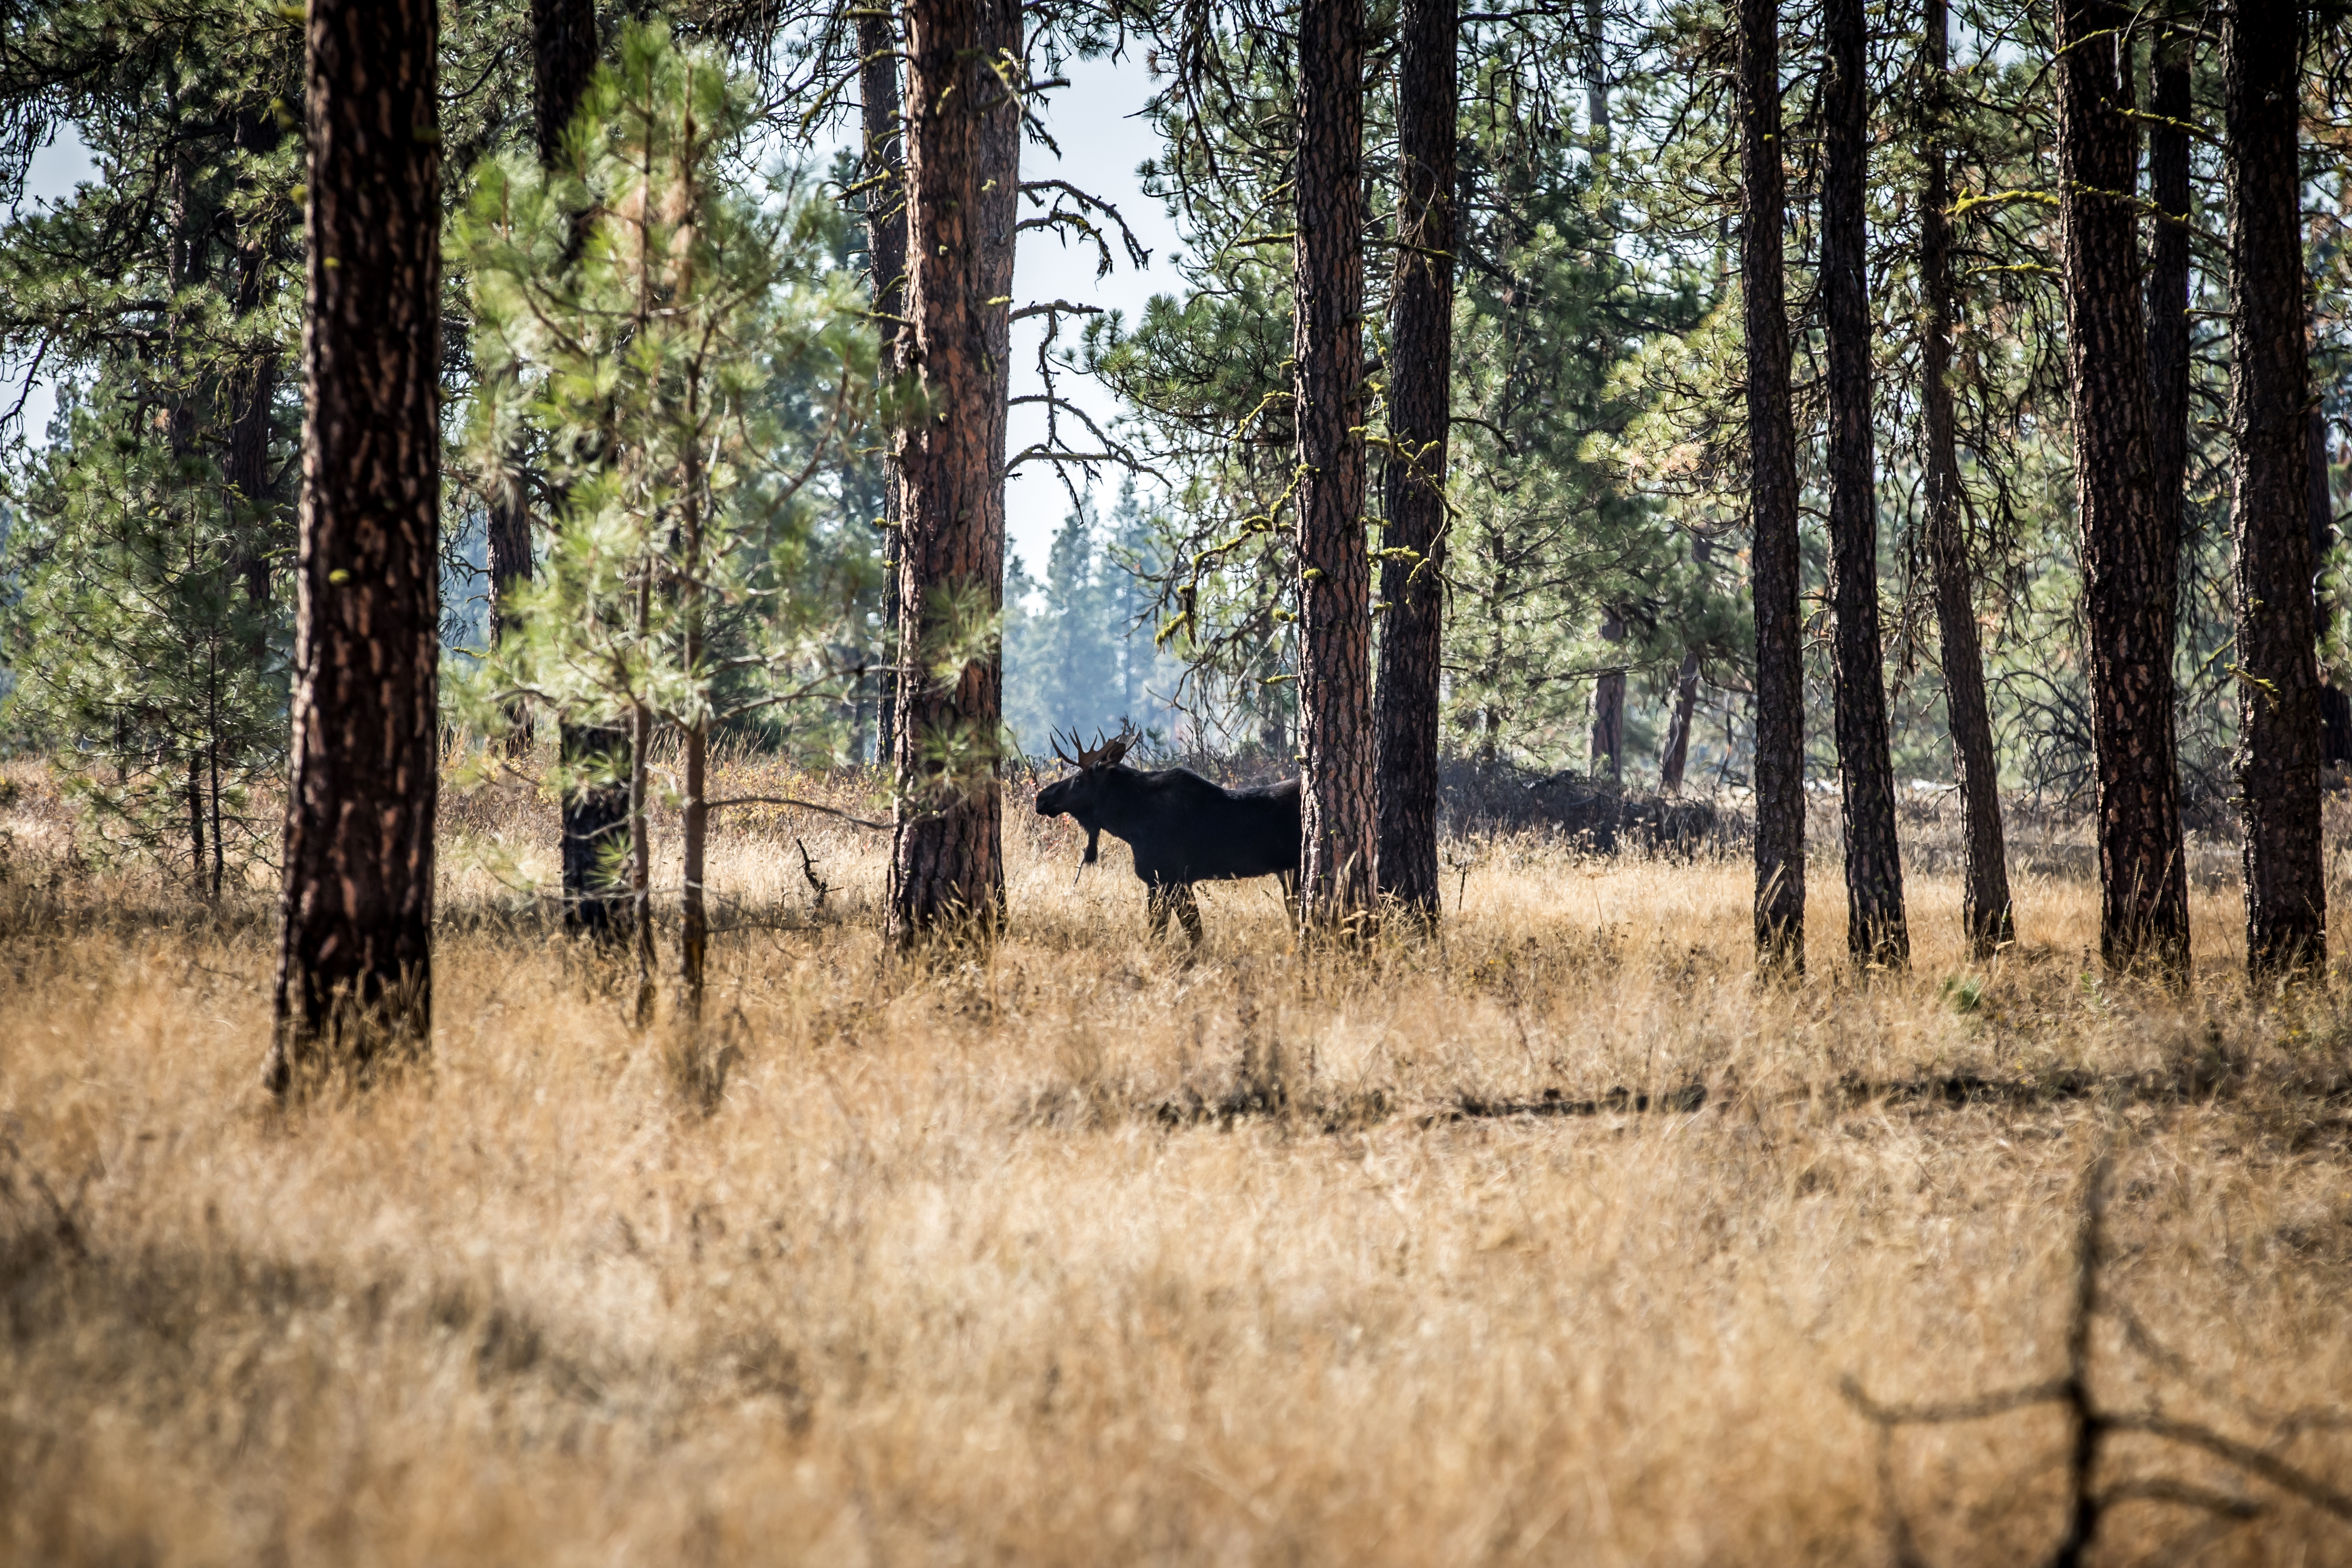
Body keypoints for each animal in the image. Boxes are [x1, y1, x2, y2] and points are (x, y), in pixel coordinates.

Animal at [1033, 723, 1300, 942]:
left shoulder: (1167, 879)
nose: (1041, 798)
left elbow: (1172, 934)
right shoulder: (1172, 881)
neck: (1130, 825)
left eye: (1079, 779)